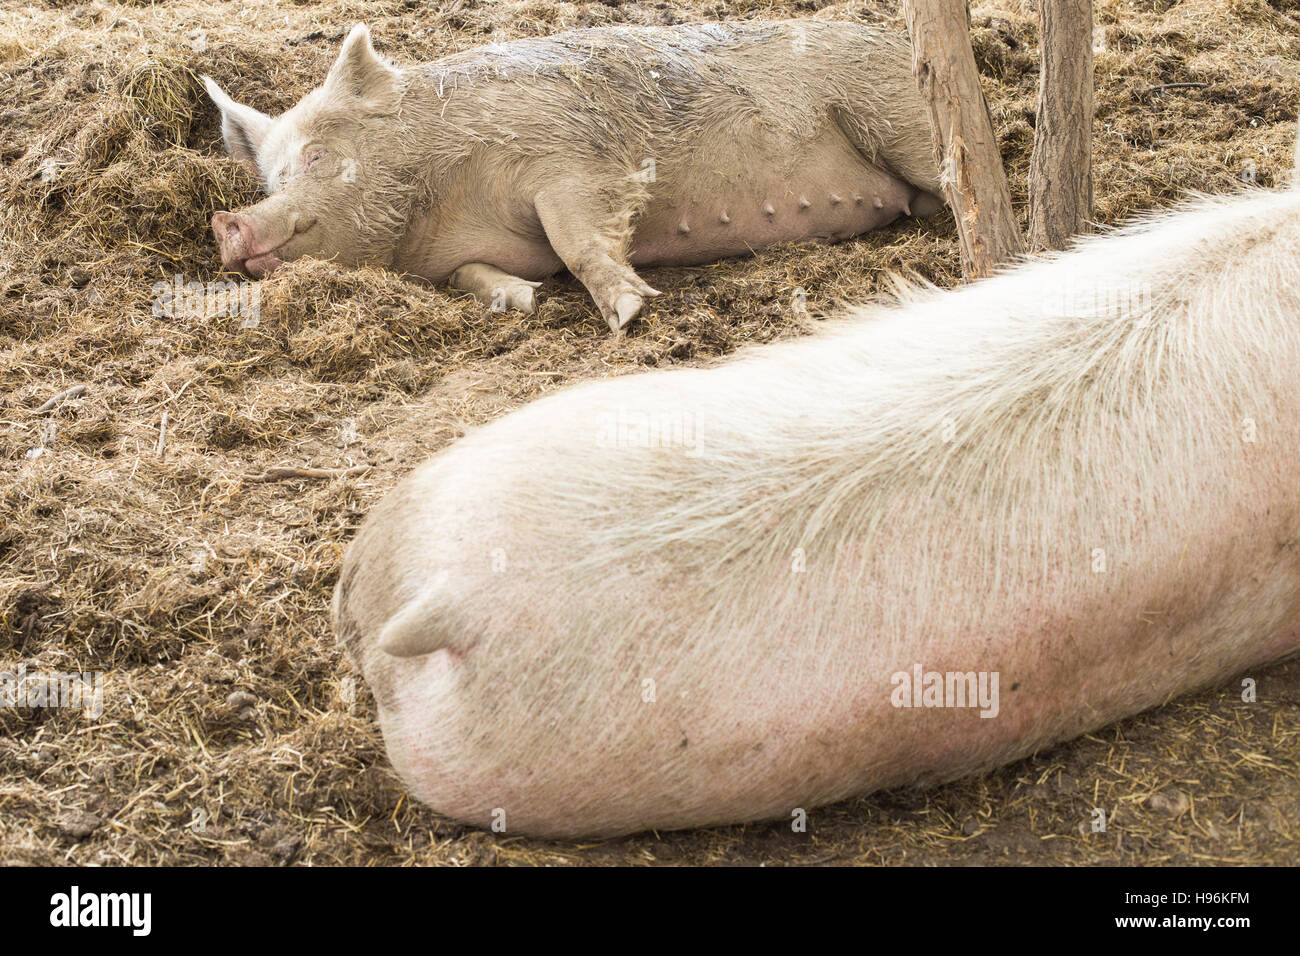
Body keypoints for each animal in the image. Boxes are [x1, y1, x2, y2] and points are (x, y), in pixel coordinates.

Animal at [203, 21, 944, 332]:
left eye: (317, 156)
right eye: (270, 181)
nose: (227, 223)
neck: (440, 202)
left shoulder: (575, 163)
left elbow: (577, 236)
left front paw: (628, 313)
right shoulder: (462, 255)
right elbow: (479, 275)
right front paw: (521, 299)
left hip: (902, 117)